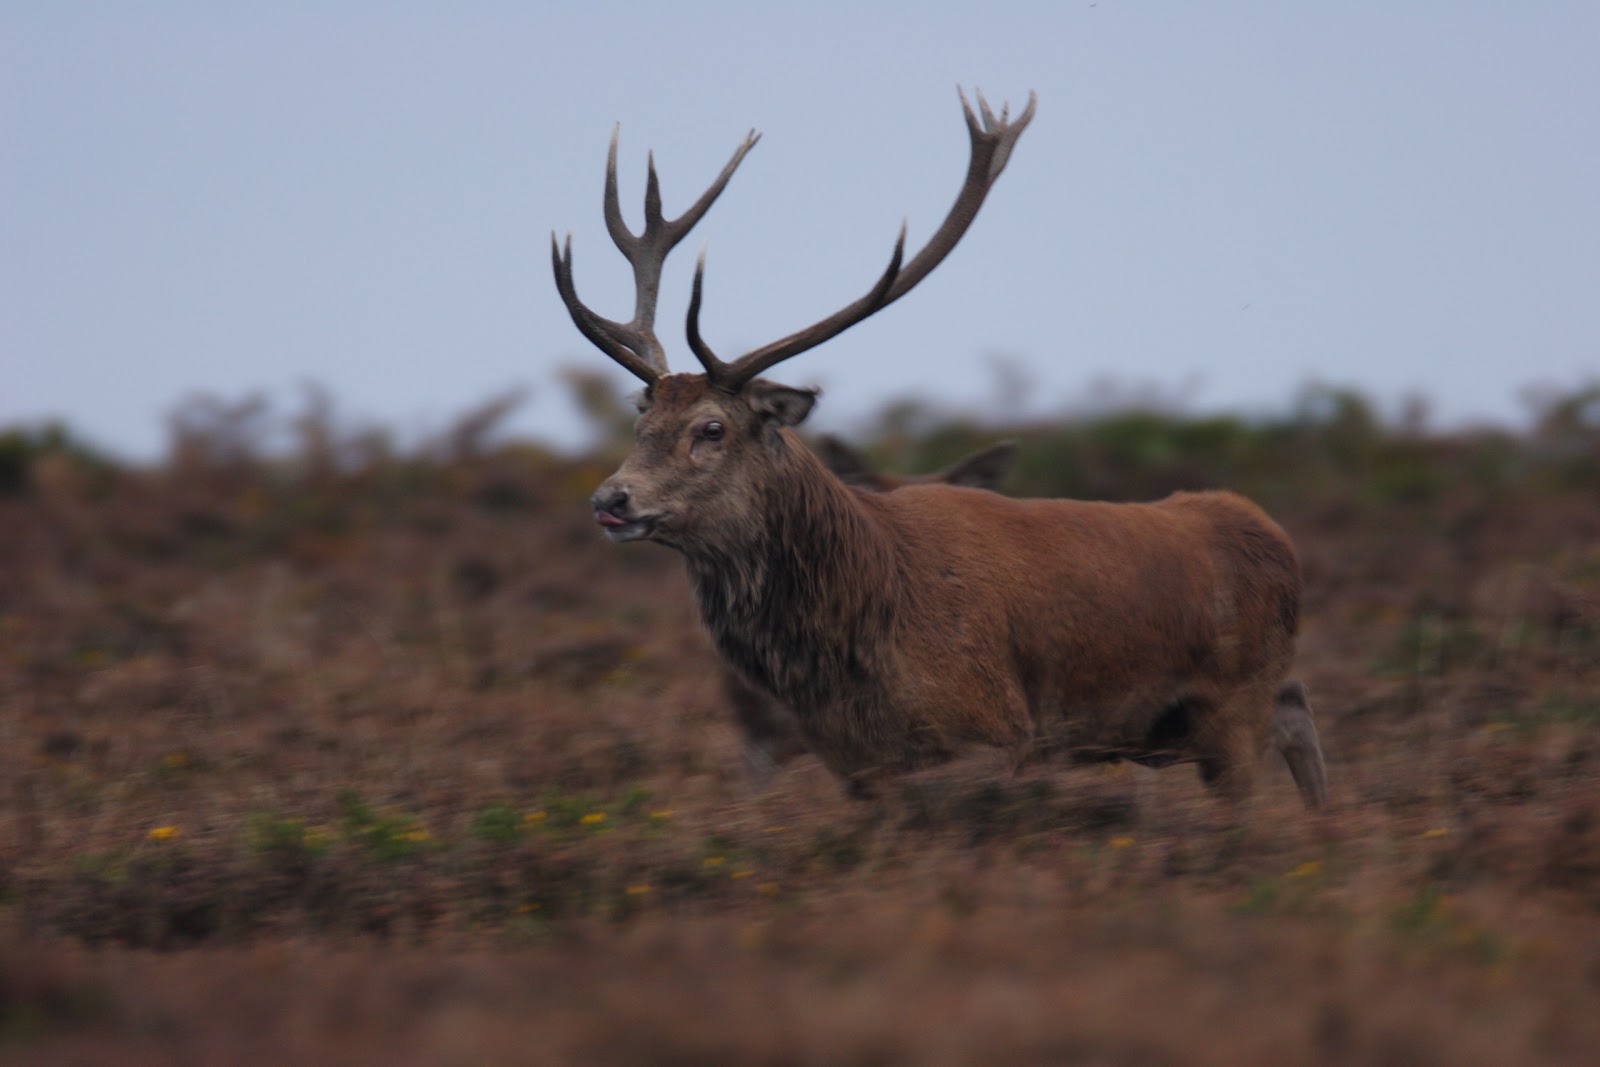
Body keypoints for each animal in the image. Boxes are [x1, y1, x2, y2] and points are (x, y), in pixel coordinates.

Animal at [551, 90, 1328, 809]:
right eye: (640, 418)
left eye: (711, 428)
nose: (610, 499)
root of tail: (1273, 535)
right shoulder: (859, 768)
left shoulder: (993, 730)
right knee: (1301, 720)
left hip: (1233, 705)